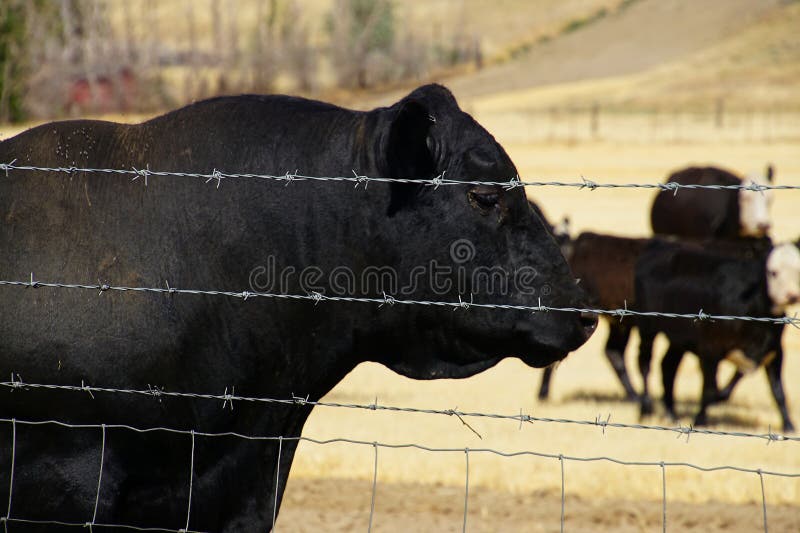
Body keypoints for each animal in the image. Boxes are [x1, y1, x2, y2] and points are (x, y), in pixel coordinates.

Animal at [634, 238, 800, 431]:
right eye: (773, 272)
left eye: (798, 271)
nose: (792, 296)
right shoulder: (710, 349)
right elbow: (710, 389)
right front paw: (700, 420)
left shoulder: (773, 351)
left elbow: (778, 391)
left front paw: (789, 425)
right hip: (647, 328)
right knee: (645, 364)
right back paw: (645, 410)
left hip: (678, 339)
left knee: (668, 366)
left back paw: (671, 414)